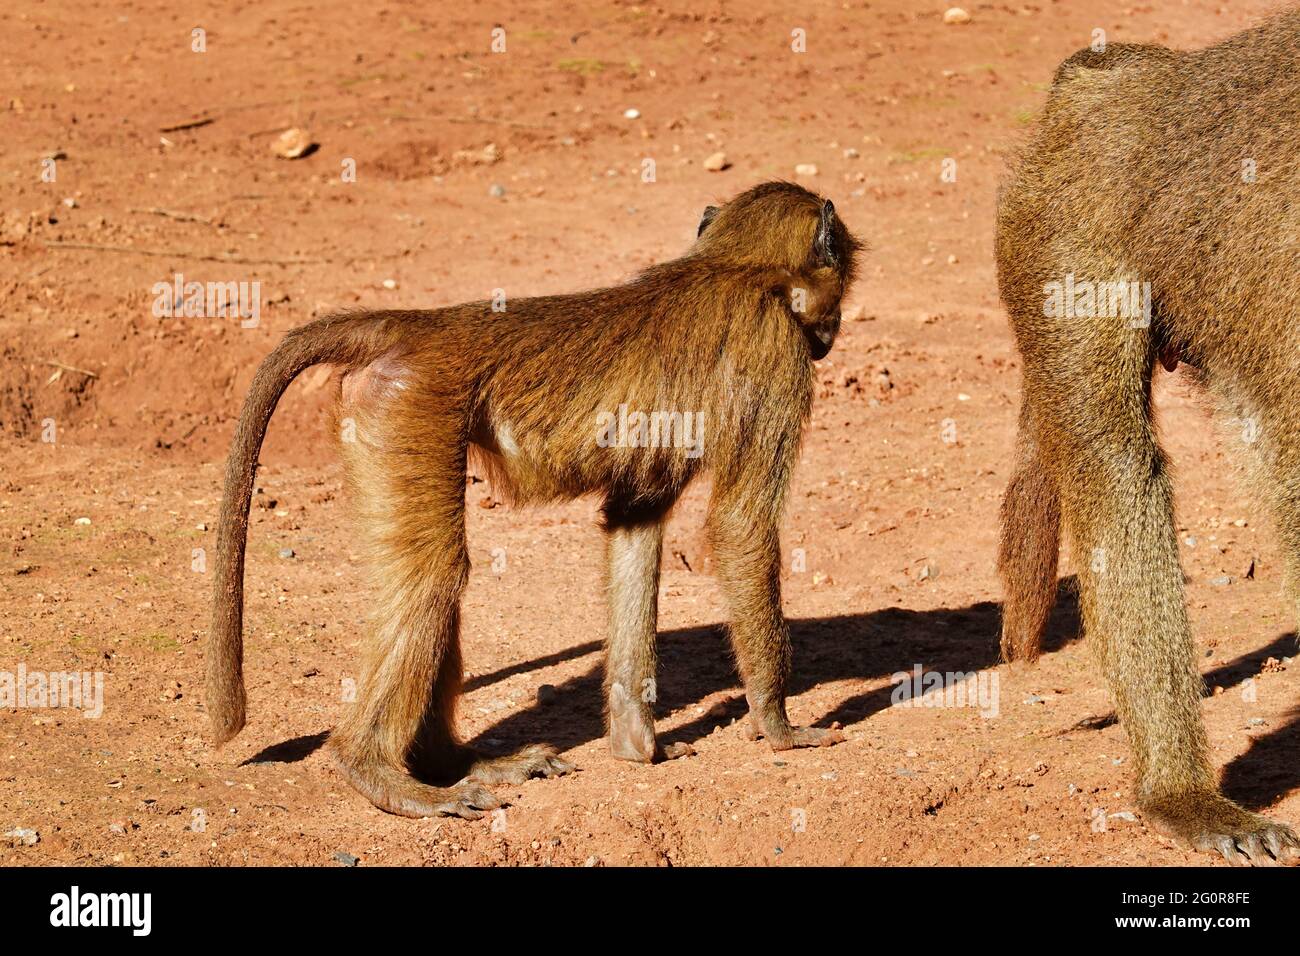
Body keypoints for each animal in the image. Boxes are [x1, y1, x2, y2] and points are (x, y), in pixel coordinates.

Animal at [207, 181, 860, 818]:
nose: (831, 335)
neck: (738, 267)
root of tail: (417, 326)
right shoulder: (777, 355)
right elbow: (740, 525)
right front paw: (780, 728)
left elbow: (634, 522)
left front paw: (637, 746)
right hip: (412, 407)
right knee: (435, 575)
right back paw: (380, 773)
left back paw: (451, 763)